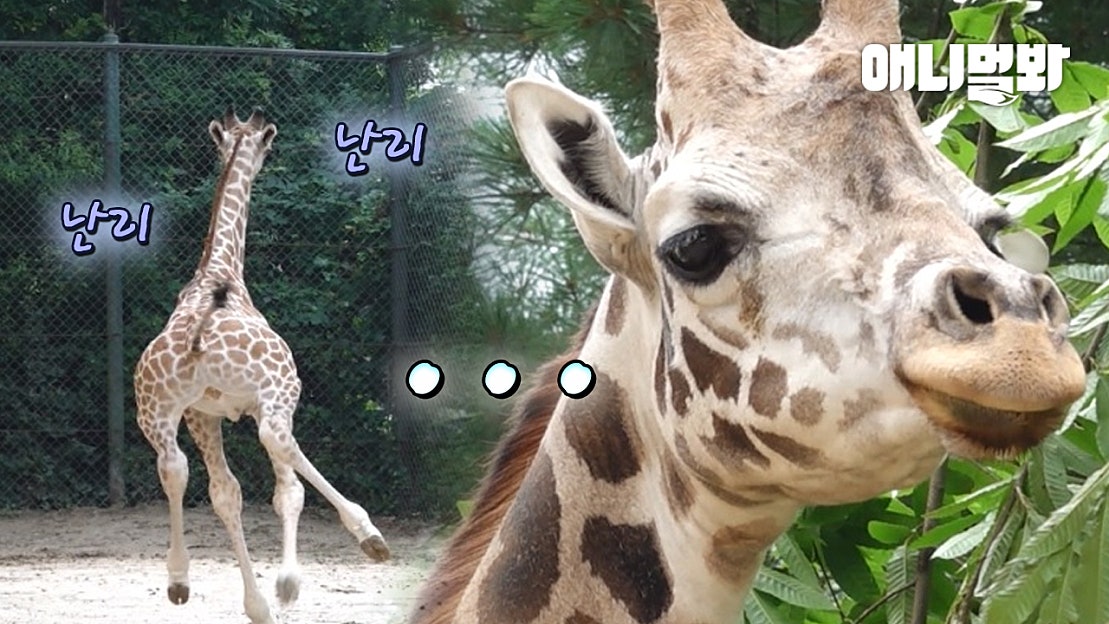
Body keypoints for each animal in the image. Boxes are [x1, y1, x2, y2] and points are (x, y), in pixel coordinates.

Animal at [133, 107, 389, 624]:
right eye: (266, 145)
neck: (220, 273)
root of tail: (199, 340)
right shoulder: (259, 401)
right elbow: (287, 489)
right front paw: (290, 581)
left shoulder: (204, 412)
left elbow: (226, 493)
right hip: (278, 391)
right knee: (280, 450)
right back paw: (357, 542)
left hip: (158, 413)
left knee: (177, 470)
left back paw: (185, 582)